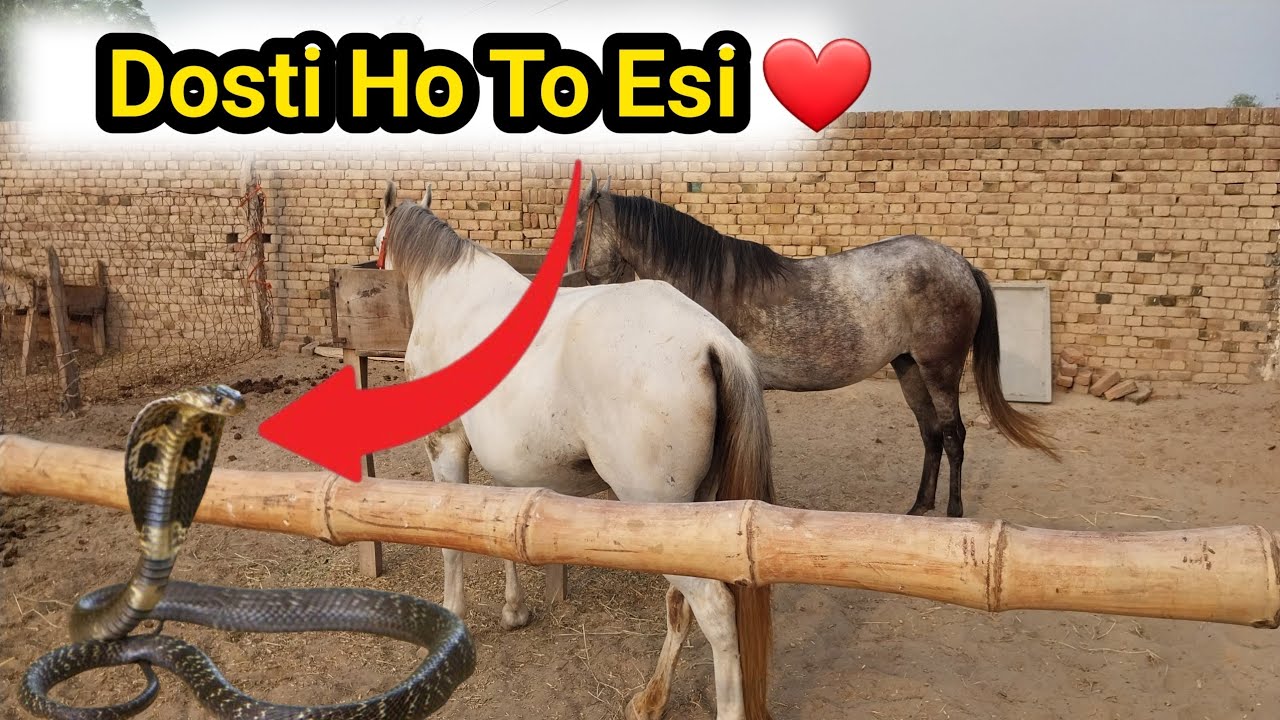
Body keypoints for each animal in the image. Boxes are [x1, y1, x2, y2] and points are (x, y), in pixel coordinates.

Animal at [375, 181, 776, 720]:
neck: (456, 295)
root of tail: (712, 342)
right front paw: (514, 610)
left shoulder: (446, 444)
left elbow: (453, 543)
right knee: (682, 605)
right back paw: (651, 698)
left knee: (714, 610)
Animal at [571, 174, 1058, 519]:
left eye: (575, 234)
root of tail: (961, 265)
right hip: (909, 368)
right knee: (931, 434)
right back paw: (920, 506)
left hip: (940, 369)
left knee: (955, 435)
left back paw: (953, 512)